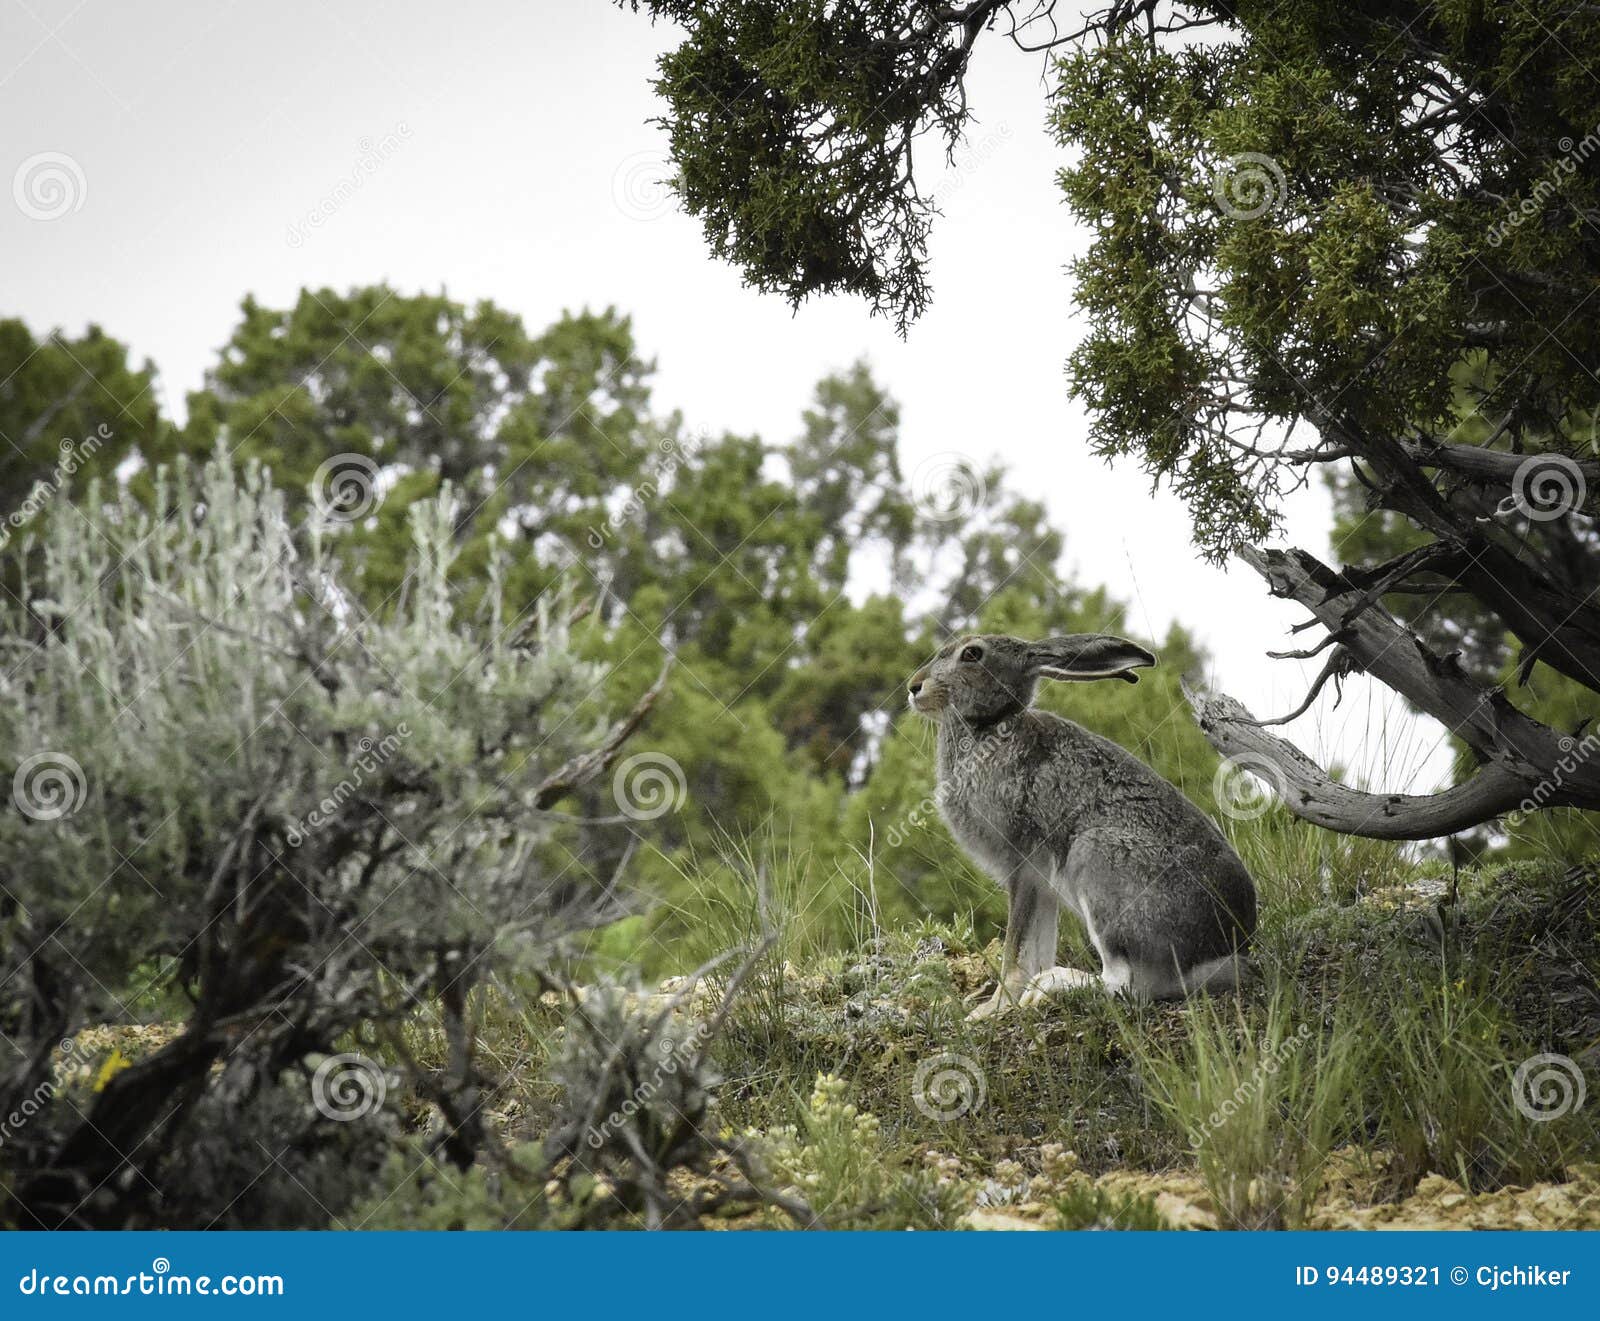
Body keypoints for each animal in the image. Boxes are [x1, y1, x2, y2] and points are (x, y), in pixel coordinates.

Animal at [907, 633, 1256, 1020]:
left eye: (971, 654)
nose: (914, 687)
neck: (992, 726)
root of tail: (1226, 939)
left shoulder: (1022, 864)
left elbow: (1015, 950)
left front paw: (989, 1010)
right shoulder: (1040, 882)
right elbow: (1035, 947)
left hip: (1097, 857)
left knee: (1127, 985)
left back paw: (1052, 986)